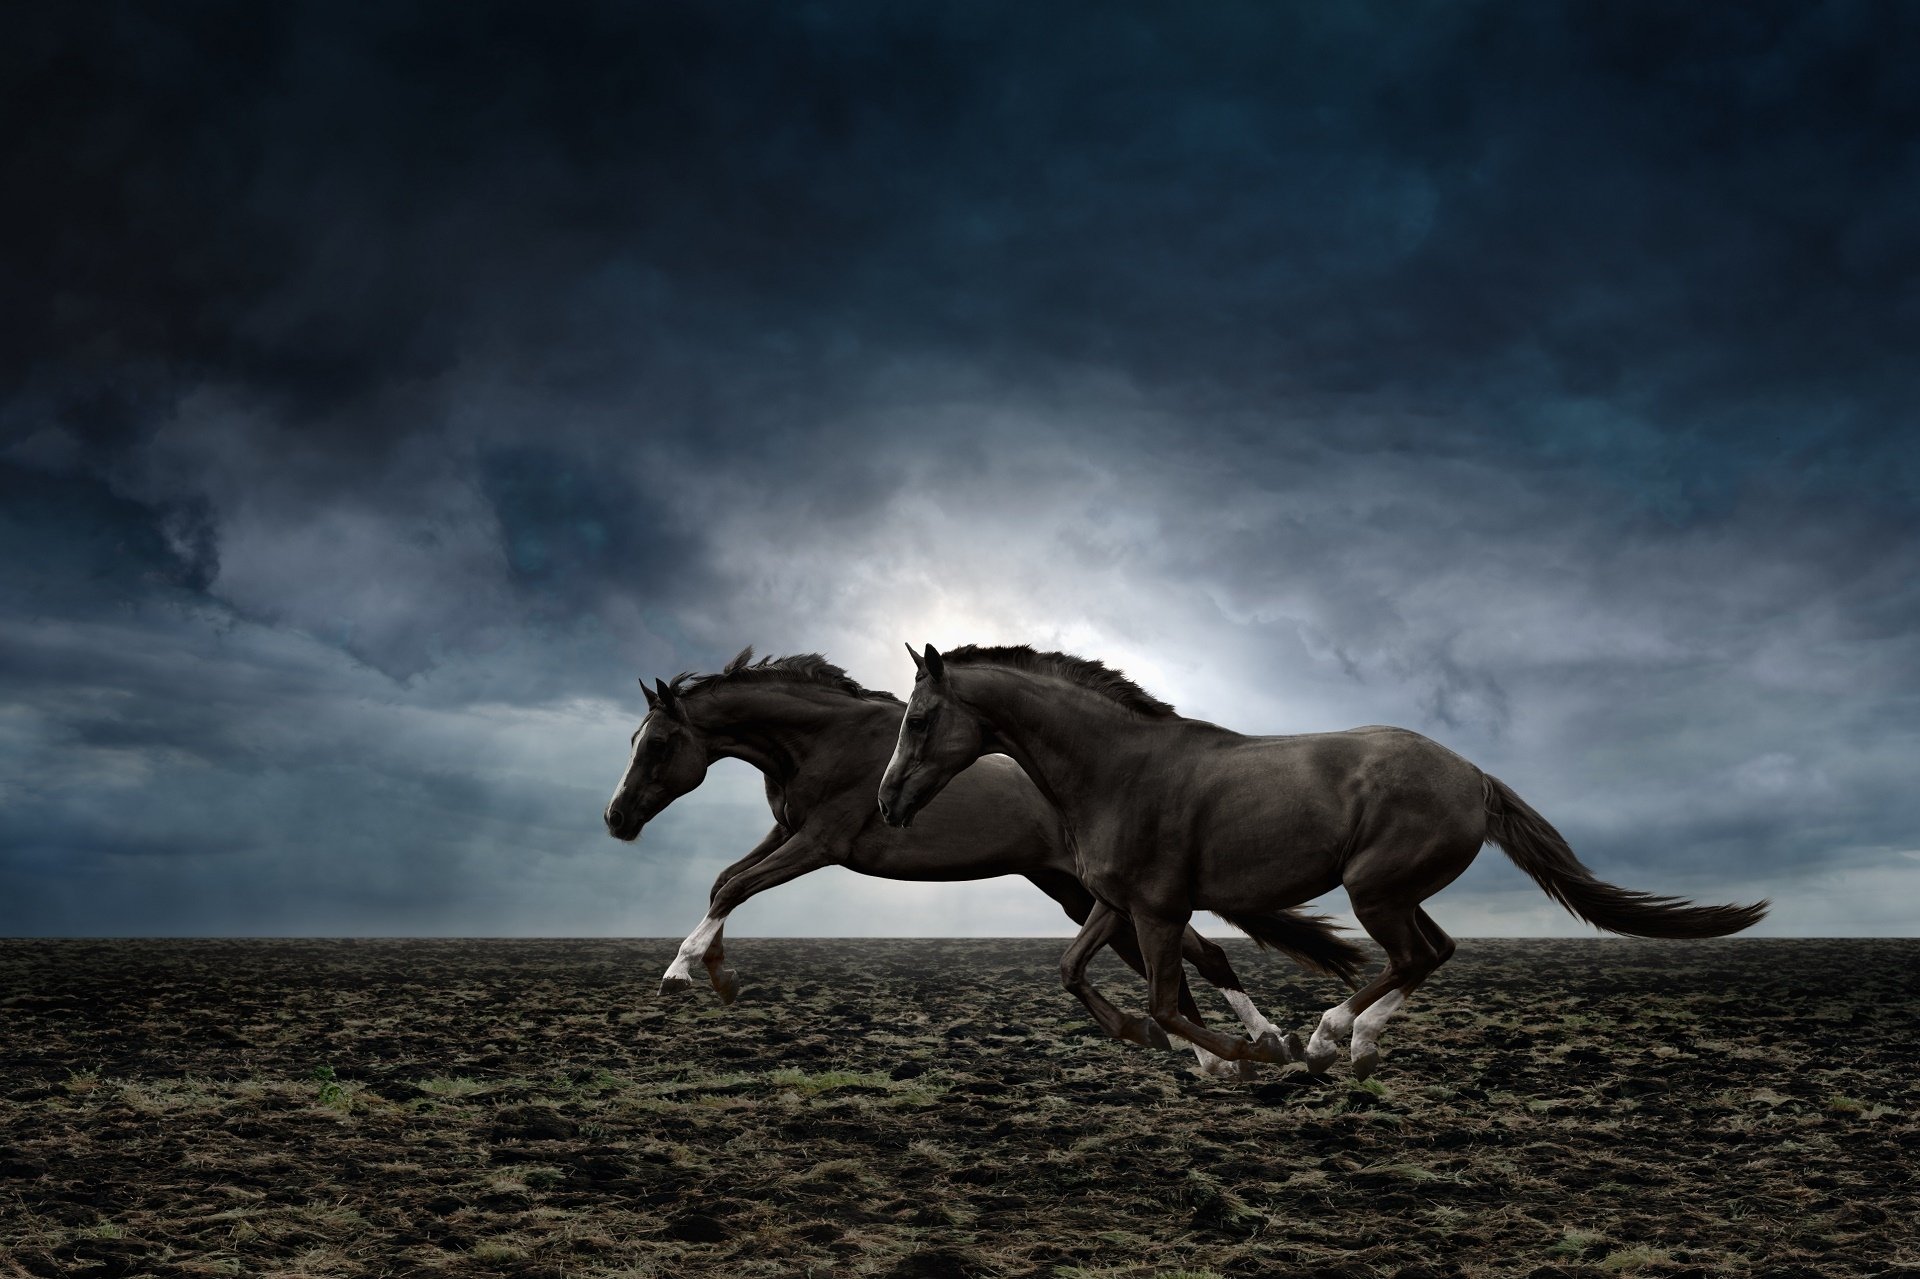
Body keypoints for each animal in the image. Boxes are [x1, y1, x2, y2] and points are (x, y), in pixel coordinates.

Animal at [603, 647, 1368, 1077]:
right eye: (637, 740)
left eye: (659, 743)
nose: (616, 818)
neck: (820, 741)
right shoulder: (786, 832)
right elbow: (723, 881)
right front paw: (718, 974)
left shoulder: (819, 843)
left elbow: (734, 887)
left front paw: (682, 972)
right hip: (1075, 889)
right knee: (1188, 957)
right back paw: (1221, 1052)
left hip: (1094, 891)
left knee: (1199, 955)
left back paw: (1258, 1042)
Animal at [878, 643, 1767, 1079]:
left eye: (919, 718)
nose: (887, 801)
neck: (1116, 767)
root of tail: (1474, 774)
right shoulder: (1115, 901)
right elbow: (1071, 971)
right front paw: (1147, 1036)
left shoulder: (1161, 908)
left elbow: (1169, 1000)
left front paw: (1251, 1053)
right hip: (1395, 888)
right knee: (1436, 950)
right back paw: (1358, 1045)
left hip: (1375, 888)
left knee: (1411, 955)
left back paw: (1326, 1038)